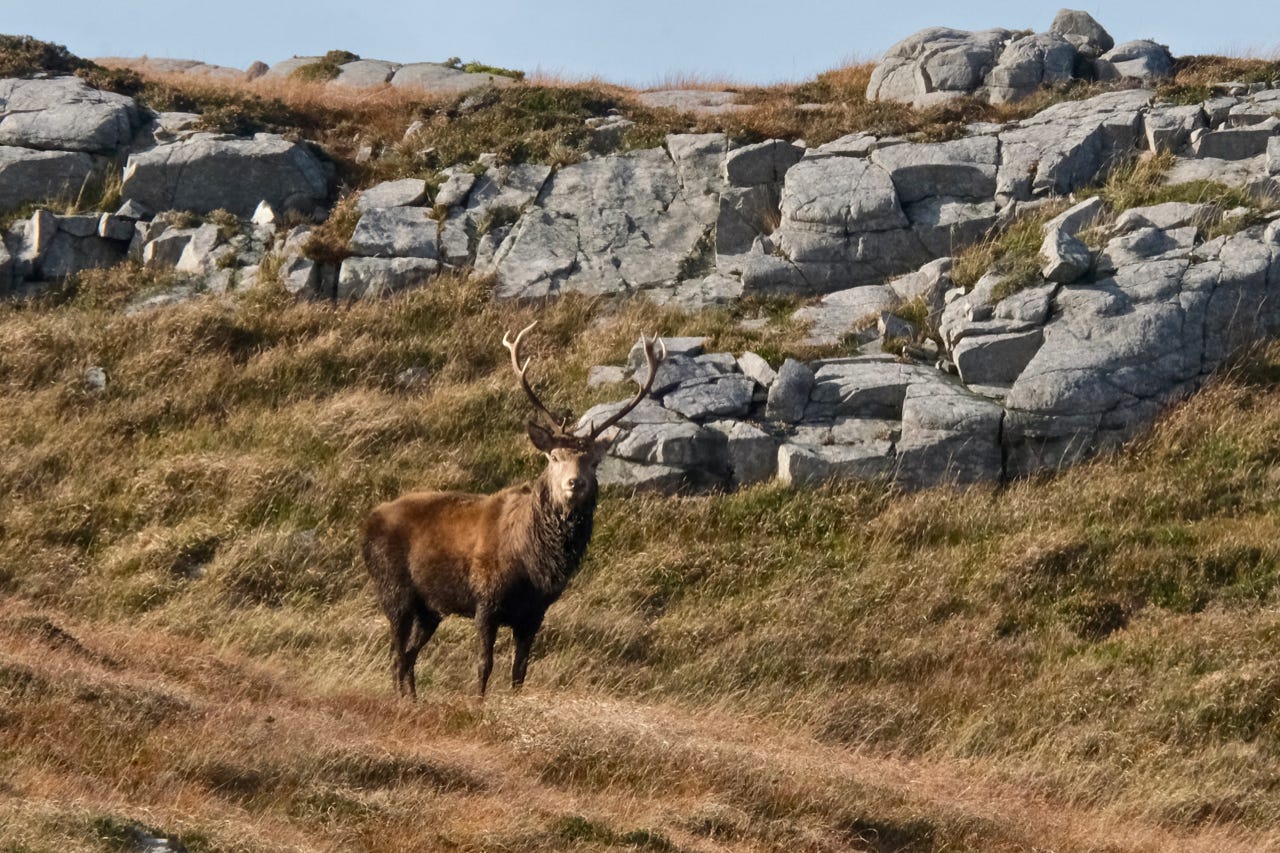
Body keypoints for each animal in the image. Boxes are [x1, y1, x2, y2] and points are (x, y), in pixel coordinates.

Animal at [361, 322, 665, 698]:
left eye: (594, 461)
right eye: (554, 457)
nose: (574, 484)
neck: (534, 563)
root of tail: (366, 523)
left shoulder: (535, 613)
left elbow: (520, 671)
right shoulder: (486, 600)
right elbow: (484, 664)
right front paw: (478, 703)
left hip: (430, 607)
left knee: (408, 655)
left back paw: (414, 701)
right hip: (394, 590)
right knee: (396, 654)